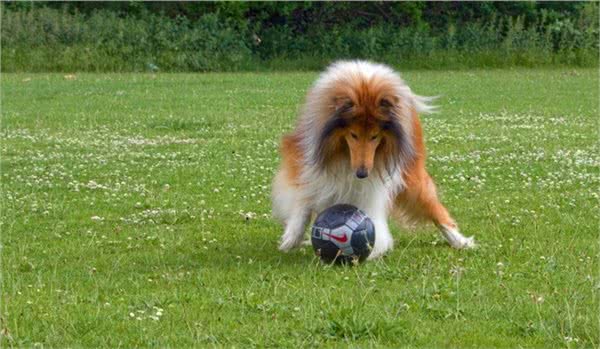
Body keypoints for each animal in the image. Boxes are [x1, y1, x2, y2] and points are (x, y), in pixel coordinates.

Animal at [270, 60, 474, 258]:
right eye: (353, 134)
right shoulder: (307, 162)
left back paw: (459, 240)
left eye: (375, 136)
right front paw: (292, 237)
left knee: (433, 207)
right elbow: (305, 199)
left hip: (411, 173)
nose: (361, 173)